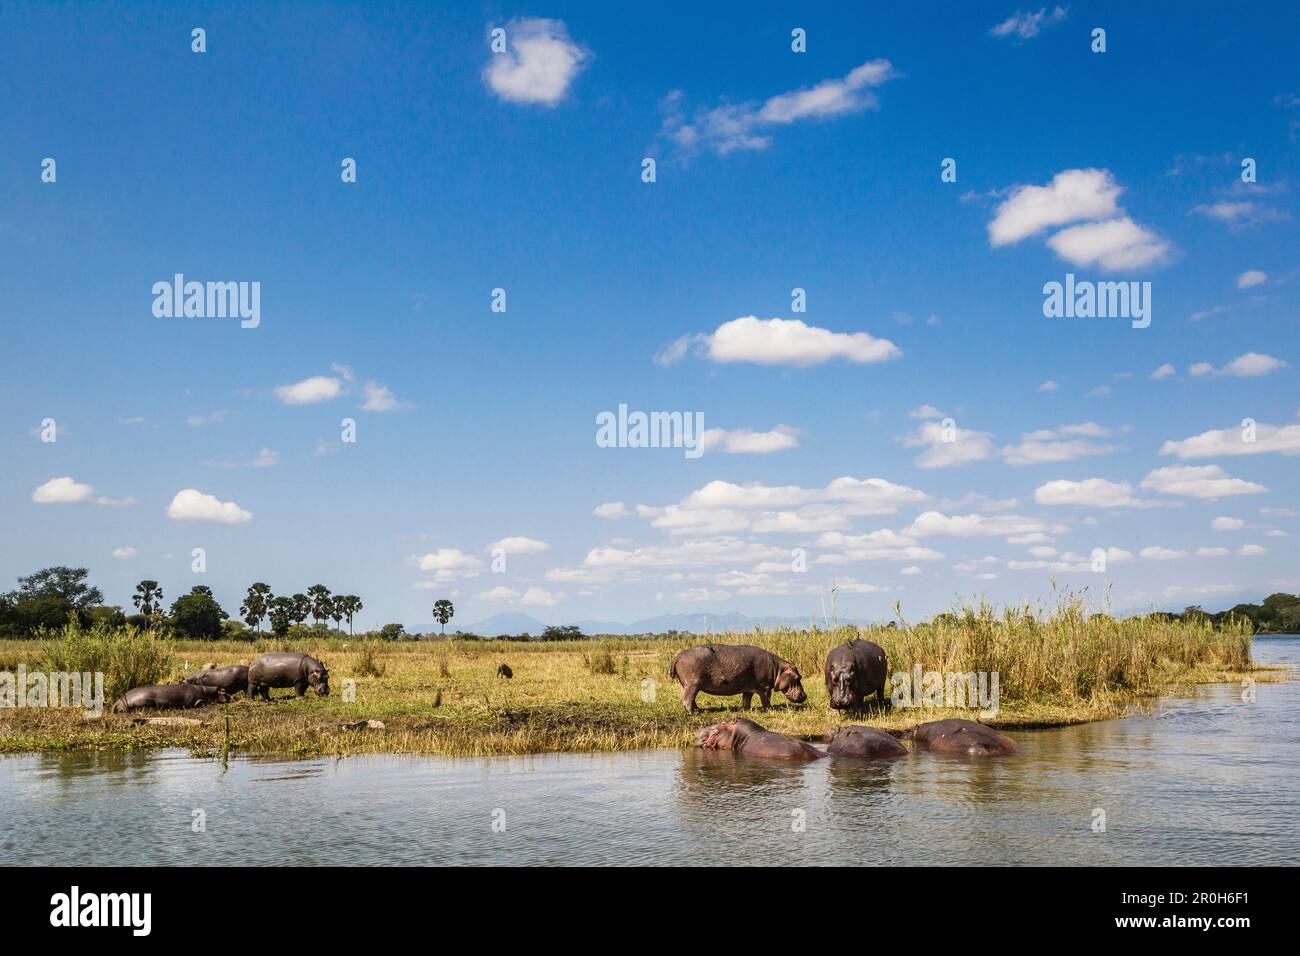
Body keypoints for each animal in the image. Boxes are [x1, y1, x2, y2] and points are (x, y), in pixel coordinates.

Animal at [668, 644, 807, 714]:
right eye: (798, 677)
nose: (805, 696)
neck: (778, 669)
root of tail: (678, 656)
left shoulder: (749, 688)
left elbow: (746, 700)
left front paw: (747, 710)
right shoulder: (765, 687)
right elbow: (766, 699)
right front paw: (770, 710)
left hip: (688, 685)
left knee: (691, 699)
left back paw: (698, 710)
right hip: (692, 684)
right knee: (687, 699)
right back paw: (693, 713)